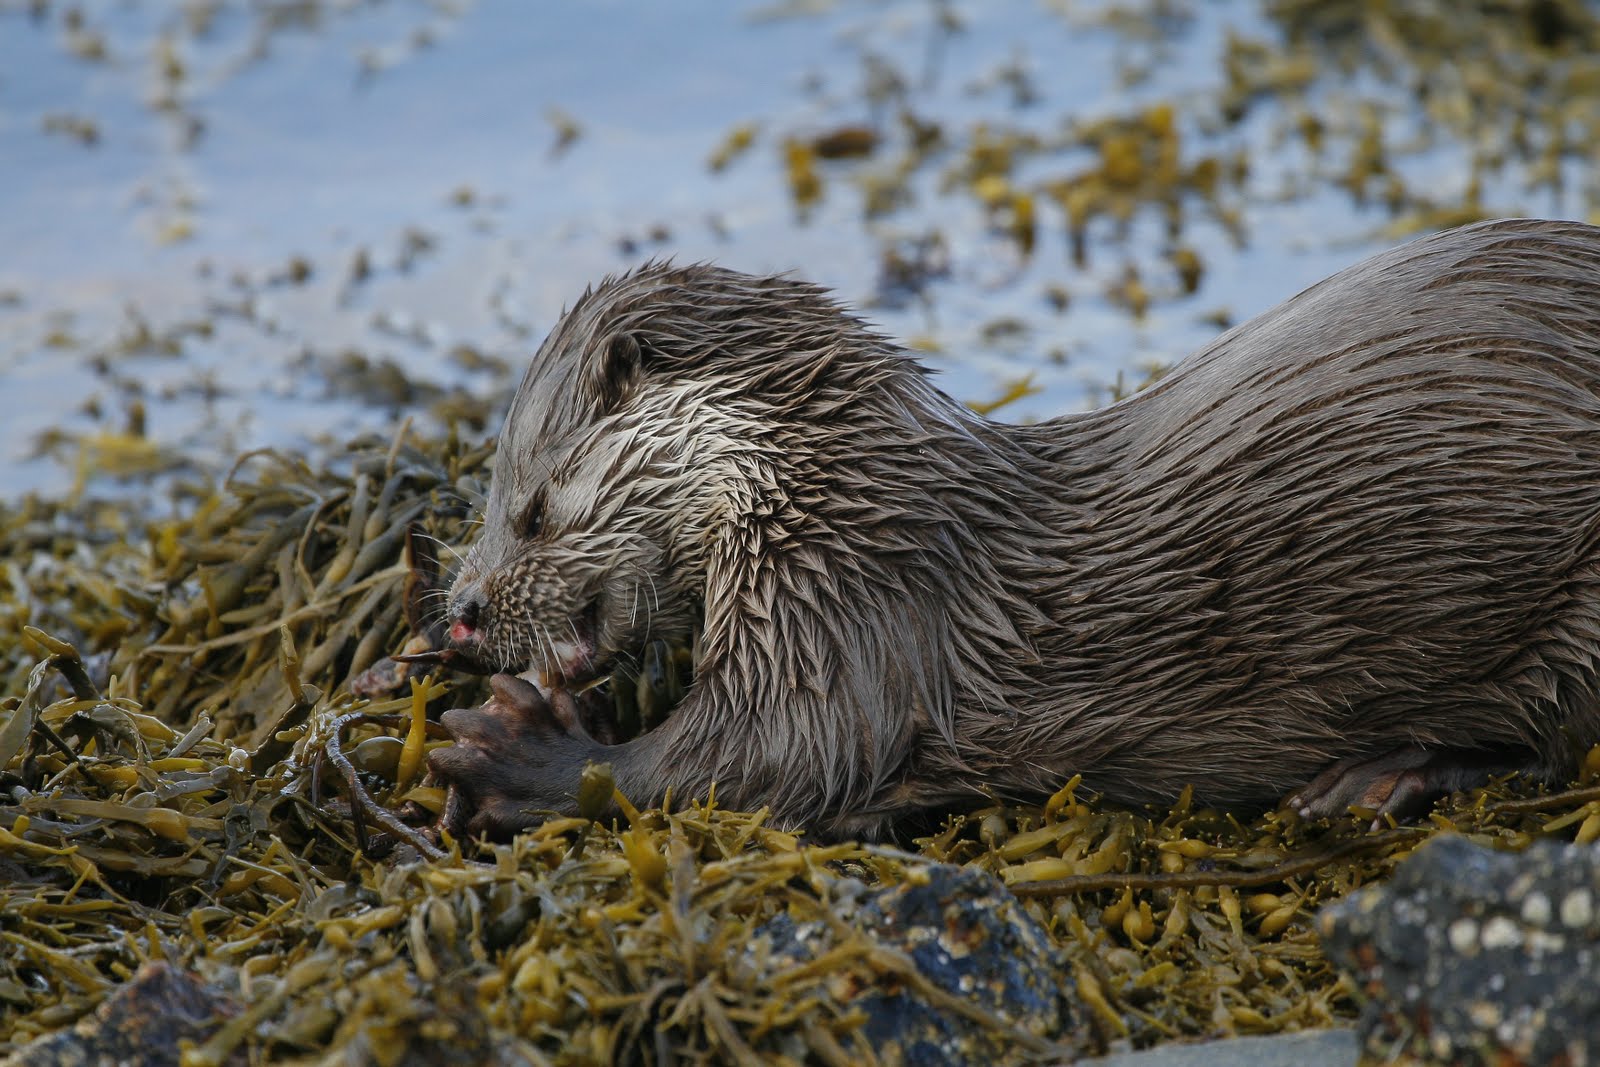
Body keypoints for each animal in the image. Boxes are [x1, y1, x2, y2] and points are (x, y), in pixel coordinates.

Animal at [426, 218, 1600, 841]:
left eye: (534, 507)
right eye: (489, 501)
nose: (462, 610)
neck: (834, 491)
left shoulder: (860, 615)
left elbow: (749, 765)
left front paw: (515, 747)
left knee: (1550, 747)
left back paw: (1378, 776)